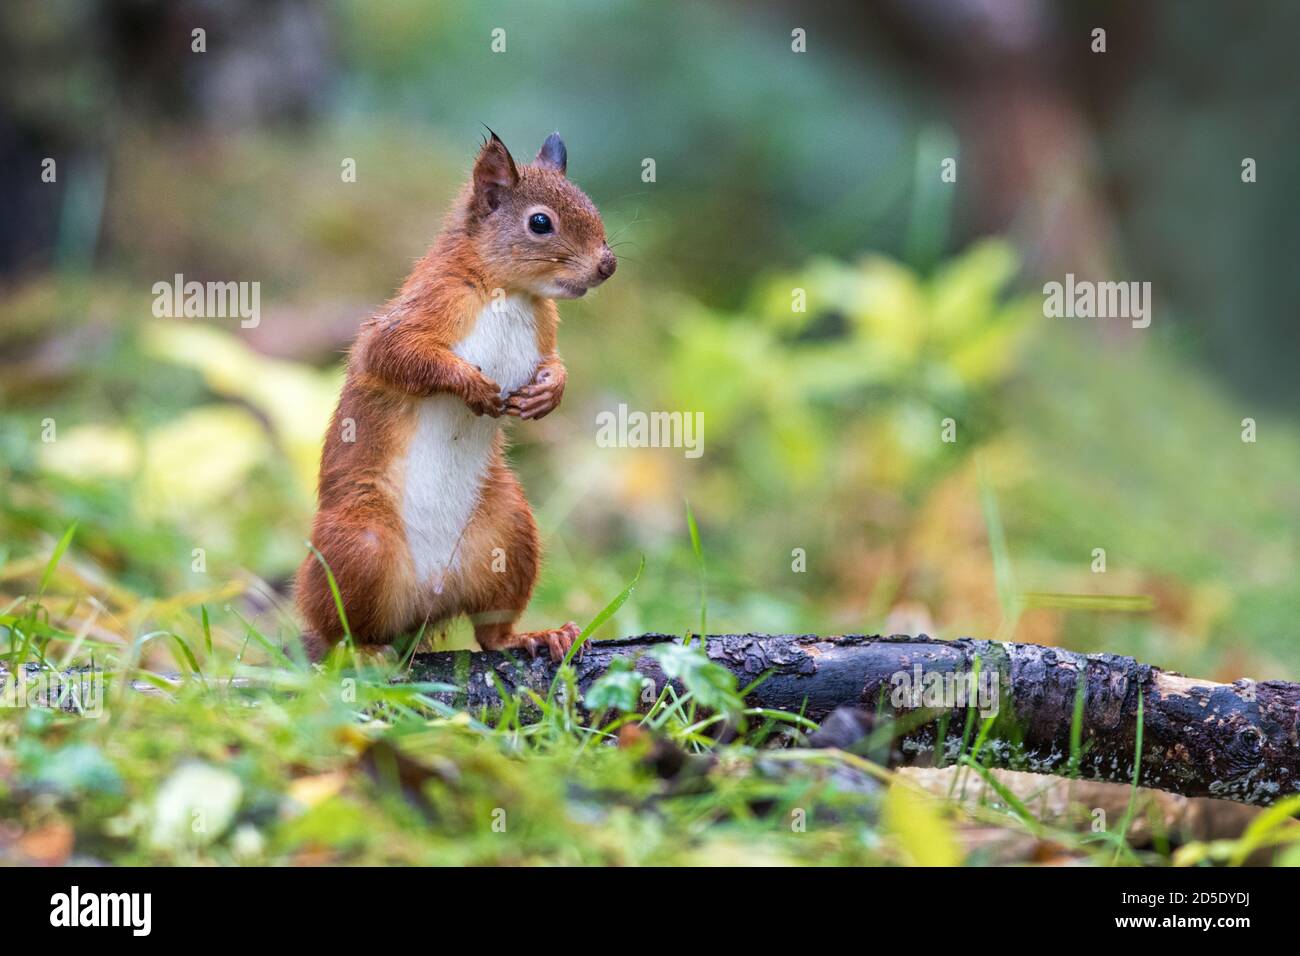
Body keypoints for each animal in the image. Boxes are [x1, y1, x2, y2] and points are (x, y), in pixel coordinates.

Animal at [295, 130, 616, 662]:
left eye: (591, 204)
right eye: (540, 222)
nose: (607, 265)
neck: (509, 292)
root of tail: (428, 597)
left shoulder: (544, 330)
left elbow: (554, 363)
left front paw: (549, 391)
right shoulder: (425, 307)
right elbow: (394, 355)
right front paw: (470, 385)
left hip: (511, 533)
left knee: (491, 631)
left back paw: (535, 635)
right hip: (359, 546)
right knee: (340, 631)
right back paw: (364, 650)